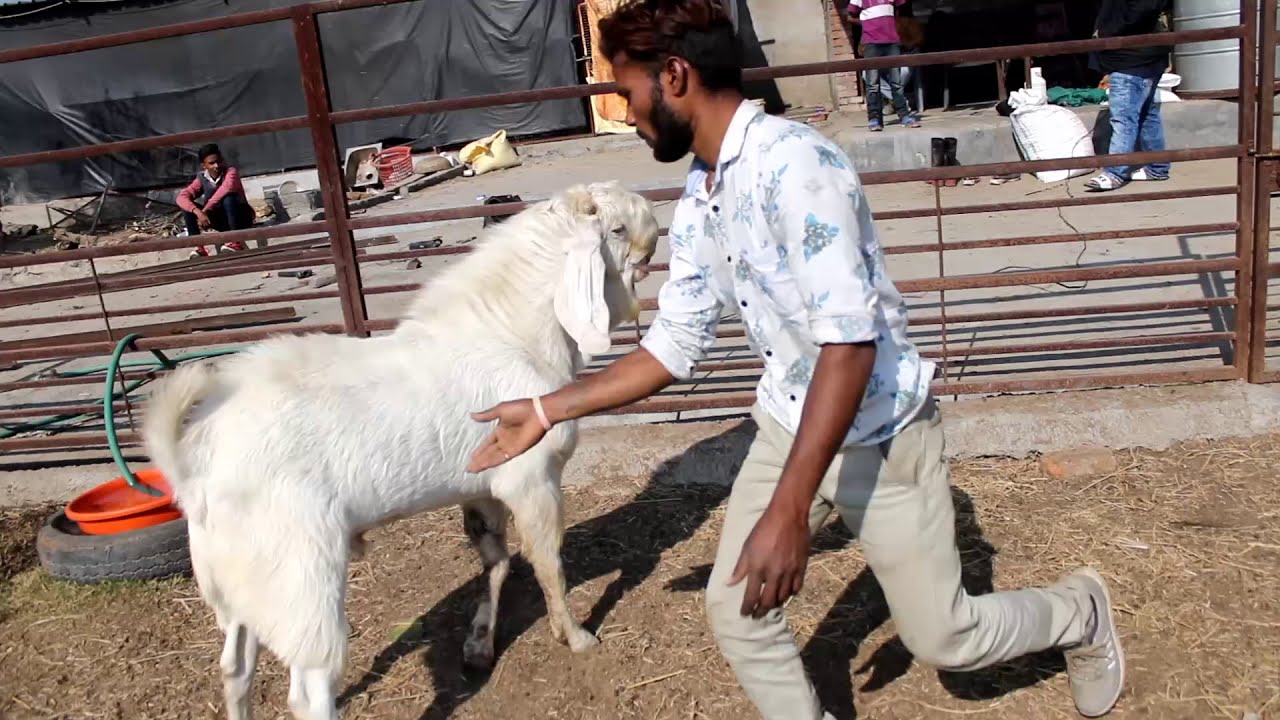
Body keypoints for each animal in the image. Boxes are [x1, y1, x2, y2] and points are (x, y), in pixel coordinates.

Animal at [141, 181, 660, 720]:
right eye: (616, 229)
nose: (651, 251)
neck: (511, 332)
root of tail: (194, 461)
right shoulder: (532, 478)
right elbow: (548, 563)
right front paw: (575, 637)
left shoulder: (481, 484)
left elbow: (494, 560)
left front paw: (479, 644)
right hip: (299, 576)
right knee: (308, 688)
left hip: (237, 580)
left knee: (235, 667)